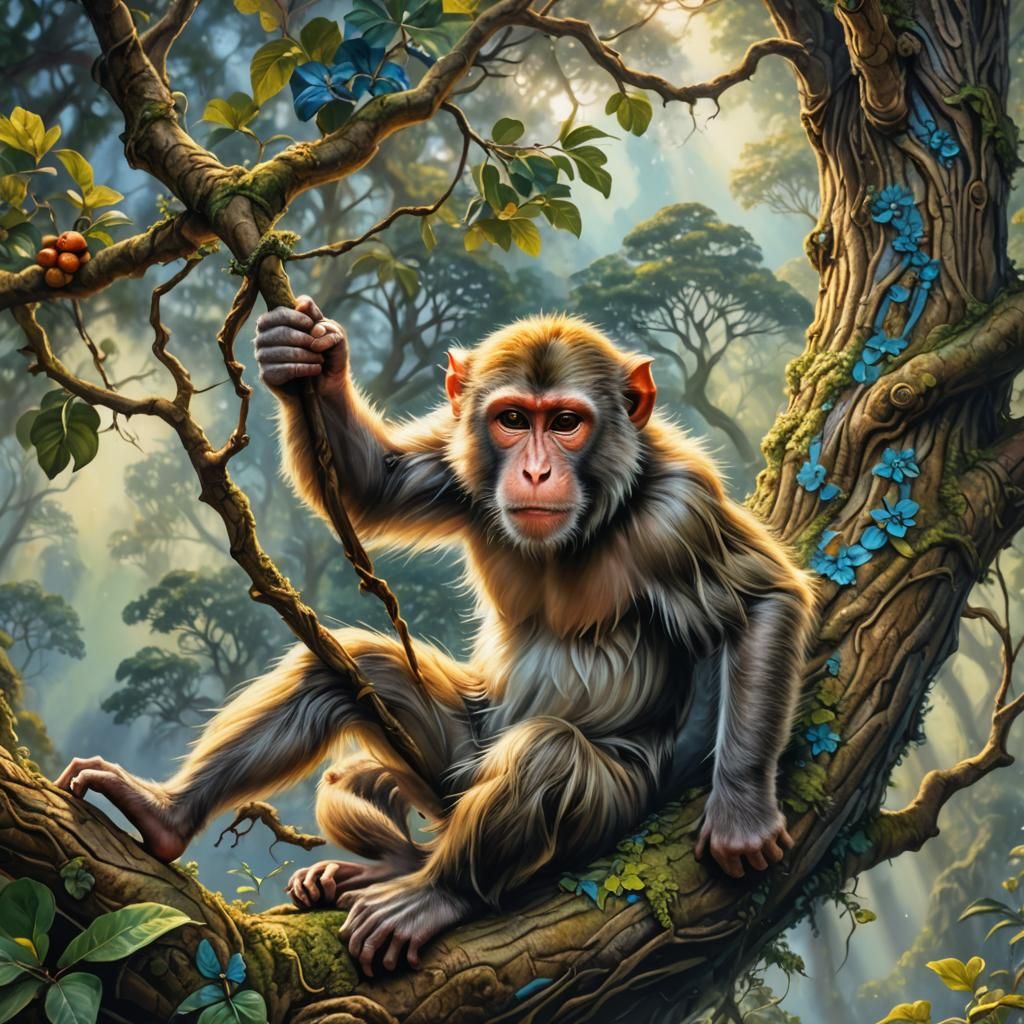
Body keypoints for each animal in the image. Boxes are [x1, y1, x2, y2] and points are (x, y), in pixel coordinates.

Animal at [57, 296, 816, 976]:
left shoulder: (678, 510)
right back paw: (175, 817)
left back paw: (435, 893)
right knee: (350, 671)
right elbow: (377, 485)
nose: (536, 469)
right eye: (512, 419)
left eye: (567, 423)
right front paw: (303, 355)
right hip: (452, 759)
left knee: (547, 756)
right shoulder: (460, 465)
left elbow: (759, 604)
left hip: (614, 798)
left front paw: (742, 806)